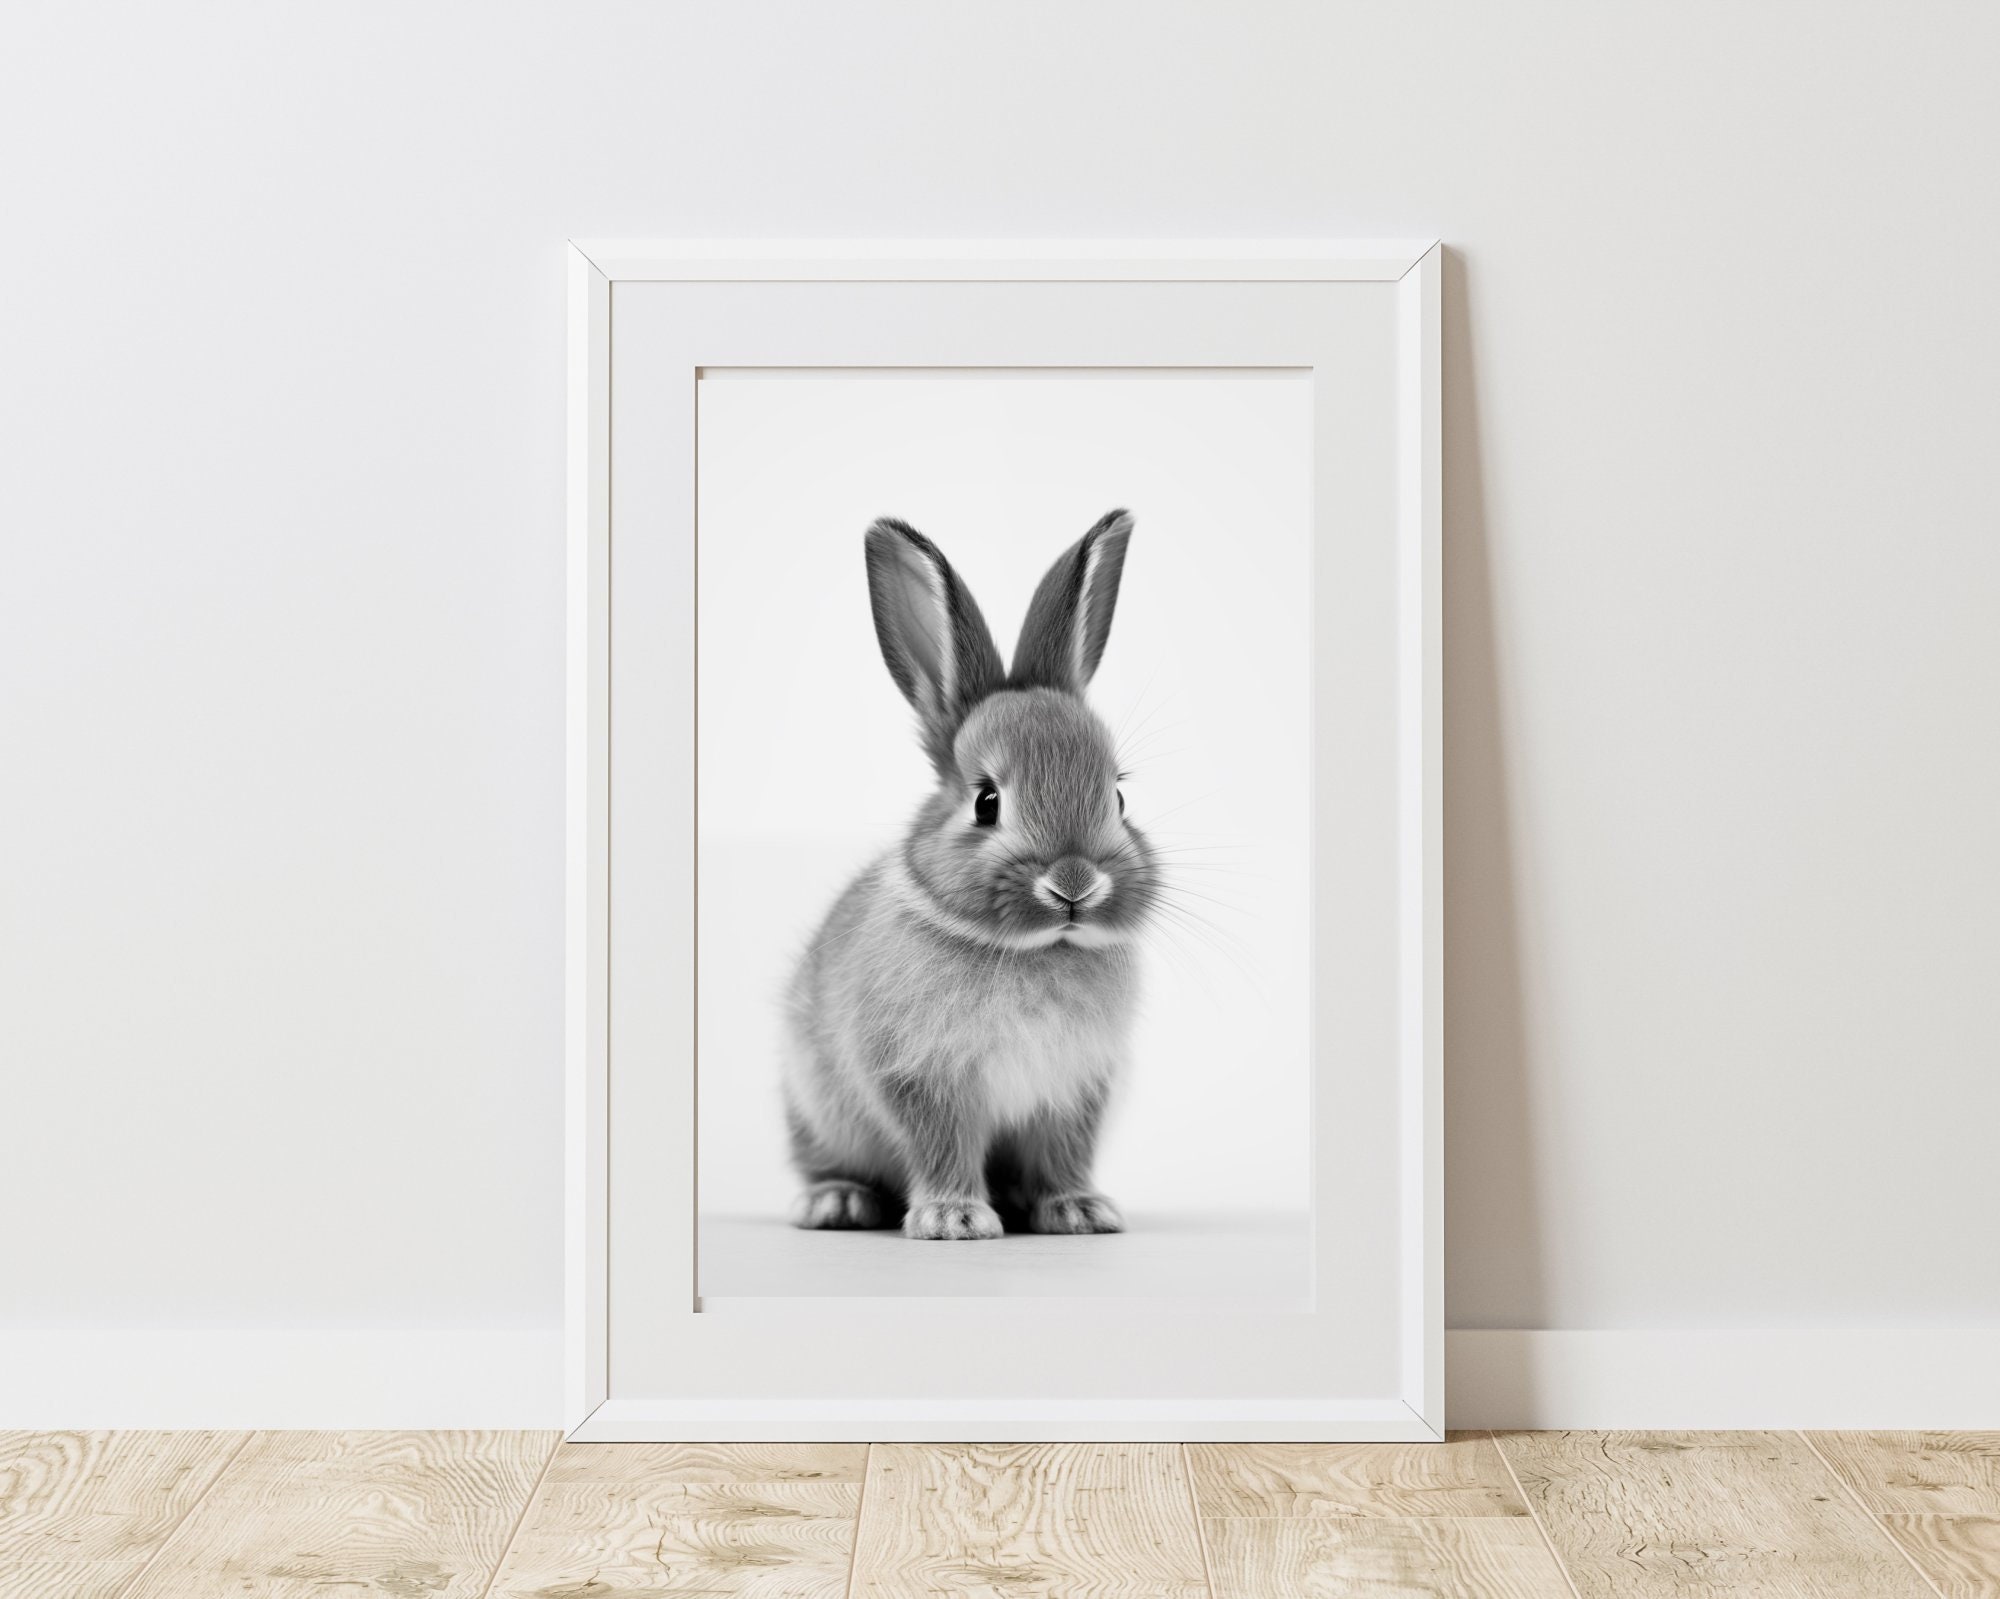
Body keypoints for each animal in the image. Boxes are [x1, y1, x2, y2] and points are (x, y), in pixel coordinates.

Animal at [782, 510, 1161, 1240]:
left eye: (1119, 798)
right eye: (987, 801)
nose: (1075, 884)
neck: (1037, 952)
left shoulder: (1076, 1089)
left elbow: (1066, 1153)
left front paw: (1080, 1210)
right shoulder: (922, 1078)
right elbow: (943, 1145)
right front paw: (954, 1218)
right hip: (815, 1107)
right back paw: (837, 1202)